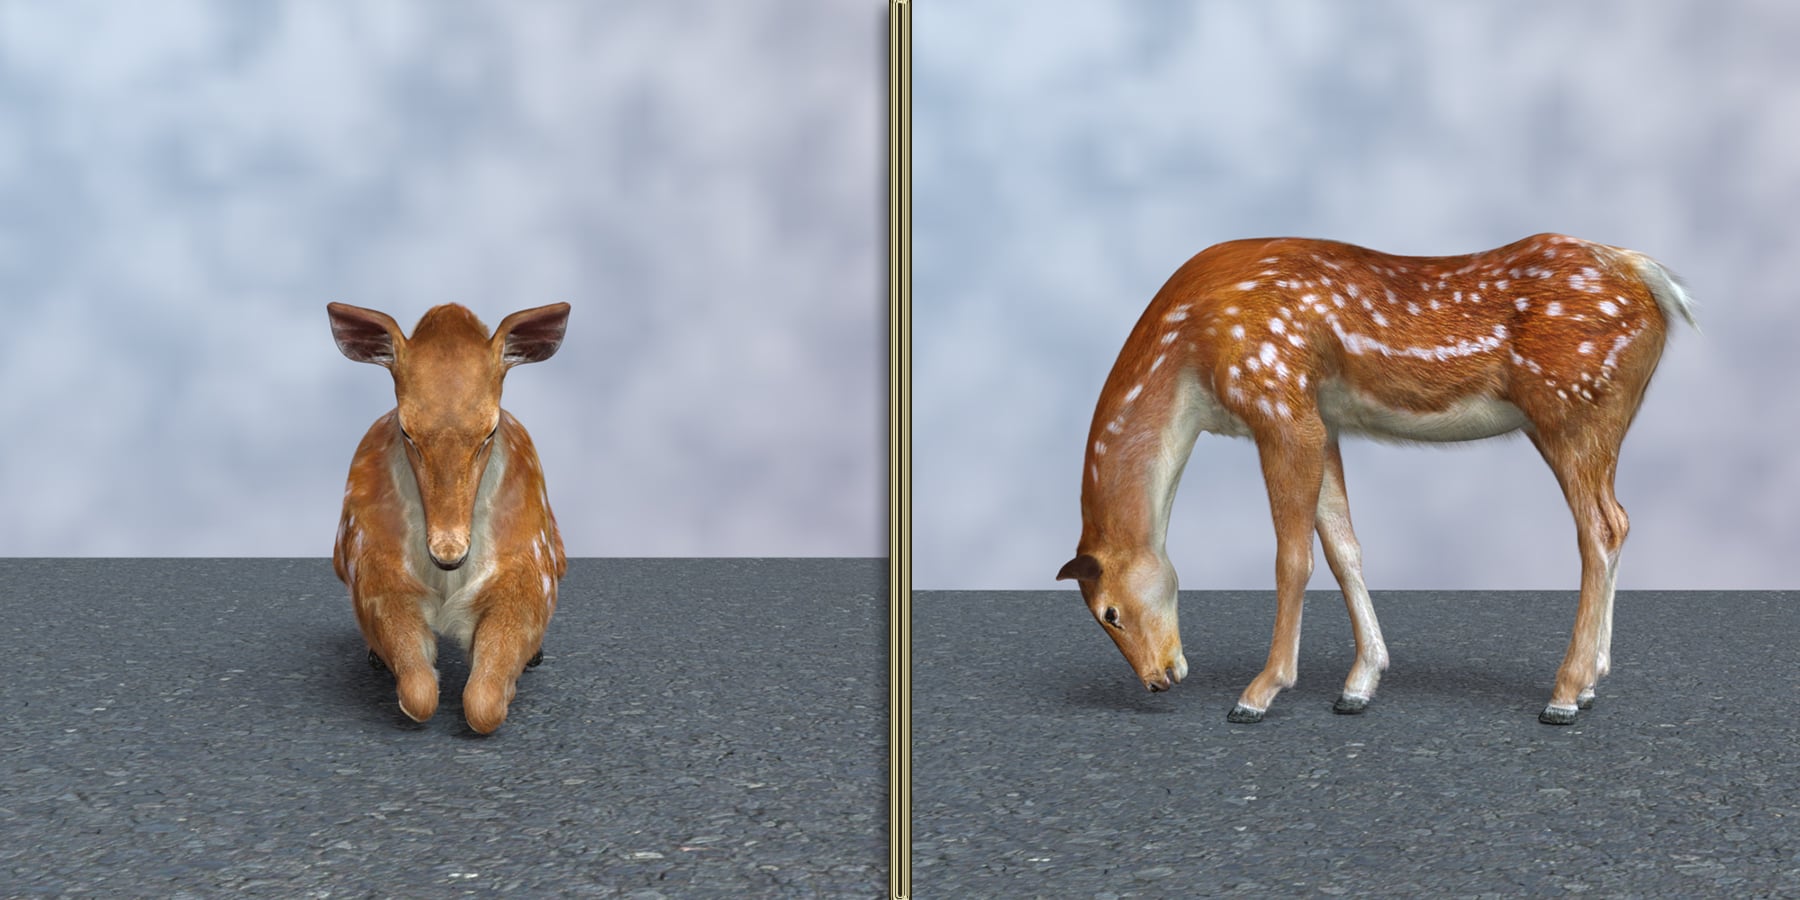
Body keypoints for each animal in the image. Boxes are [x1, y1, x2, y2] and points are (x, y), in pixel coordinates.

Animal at [328, 301, 570, 734]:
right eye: (406, 429)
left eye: (490, 430)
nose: (448, 550)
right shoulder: (372, 571)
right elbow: (419, 691)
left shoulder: (529, 571)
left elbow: (483, 701)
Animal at [1057, 233, 1695, 725]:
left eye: (1108, 612)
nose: (1158, 680)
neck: (1190, 359)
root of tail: (1655, 280)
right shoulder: (1326, 423)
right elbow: (1344, 547)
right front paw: (1359, 684)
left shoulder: (1280, 401)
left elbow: (1292, 557)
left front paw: (1259, 693)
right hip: (1593, 419)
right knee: (1620, 520)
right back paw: (1589, 685)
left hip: (1570, 408)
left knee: (1601, 528)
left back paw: (1563, 694)